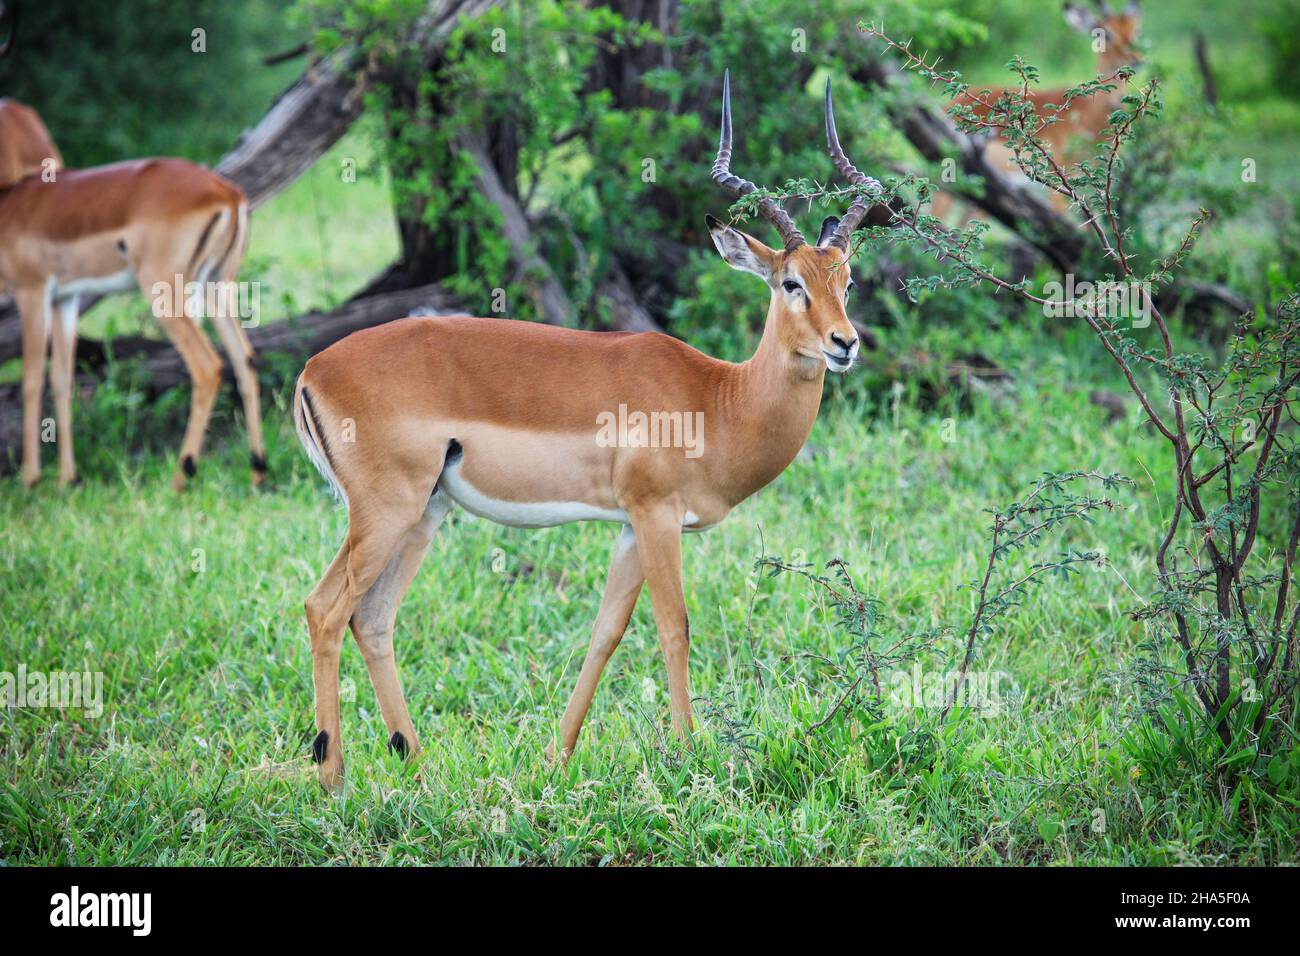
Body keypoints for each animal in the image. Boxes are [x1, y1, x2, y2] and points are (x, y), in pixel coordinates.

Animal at [0, 122, 265, 489]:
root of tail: (226, 192)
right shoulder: (64, 298)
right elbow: (62, 379)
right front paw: (67, 478)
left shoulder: (32, 291)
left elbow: (31, 380)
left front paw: (30, 479)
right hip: (216, 285)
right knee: (246, 360)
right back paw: (257, 471)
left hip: (163, 291)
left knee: (208, 366)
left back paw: (180, 477)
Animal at [293, 73, 891, 789]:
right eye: (791, 282)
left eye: (848, 281)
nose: (845, 344)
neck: (716, 397)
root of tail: (312, 369)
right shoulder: (657, 515)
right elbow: (674, 627)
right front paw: (690, 754)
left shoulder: (631, 527)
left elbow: (605, 634)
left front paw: (558, 757)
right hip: (385, 512)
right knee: (325, 609)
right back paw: (332, 775)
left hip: (424, 513)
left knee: (373, 617)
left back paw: (414, 758)